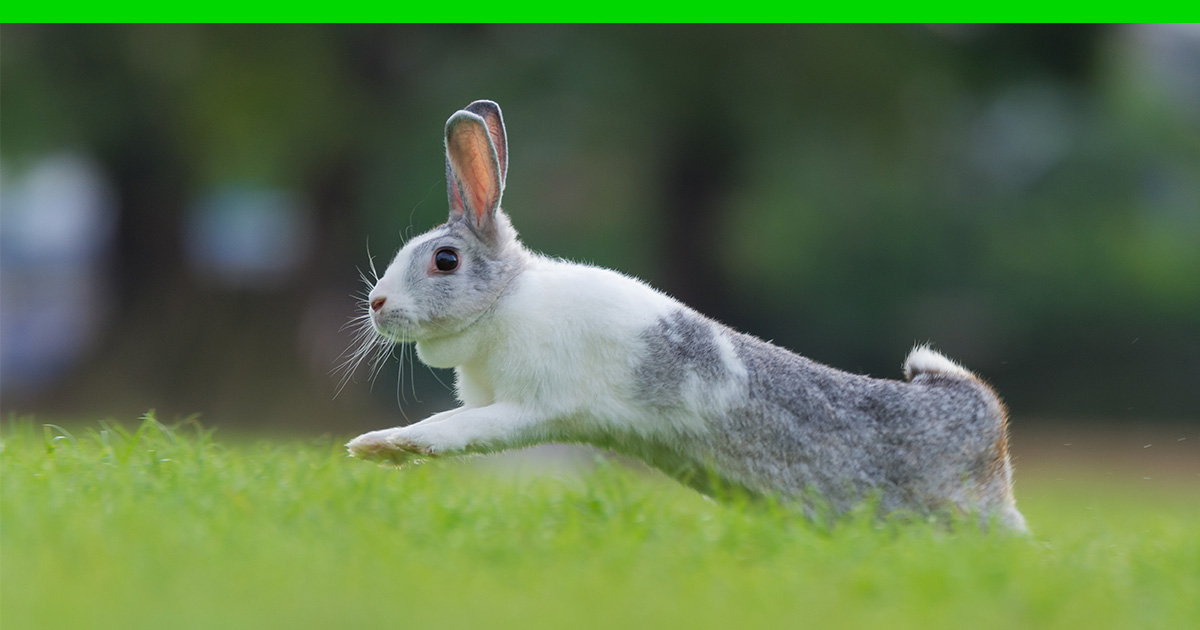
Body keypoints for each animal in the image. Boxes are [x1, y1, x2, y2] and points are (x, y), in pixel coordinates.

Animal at [346, 99, 1027, 532]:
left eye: (445, 260)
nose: (377, 305)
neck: (505, 299)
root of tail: (988, 428)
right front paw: (376, 450)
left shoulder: (526, 408)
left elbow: (453, 431)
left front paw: (377, 445)